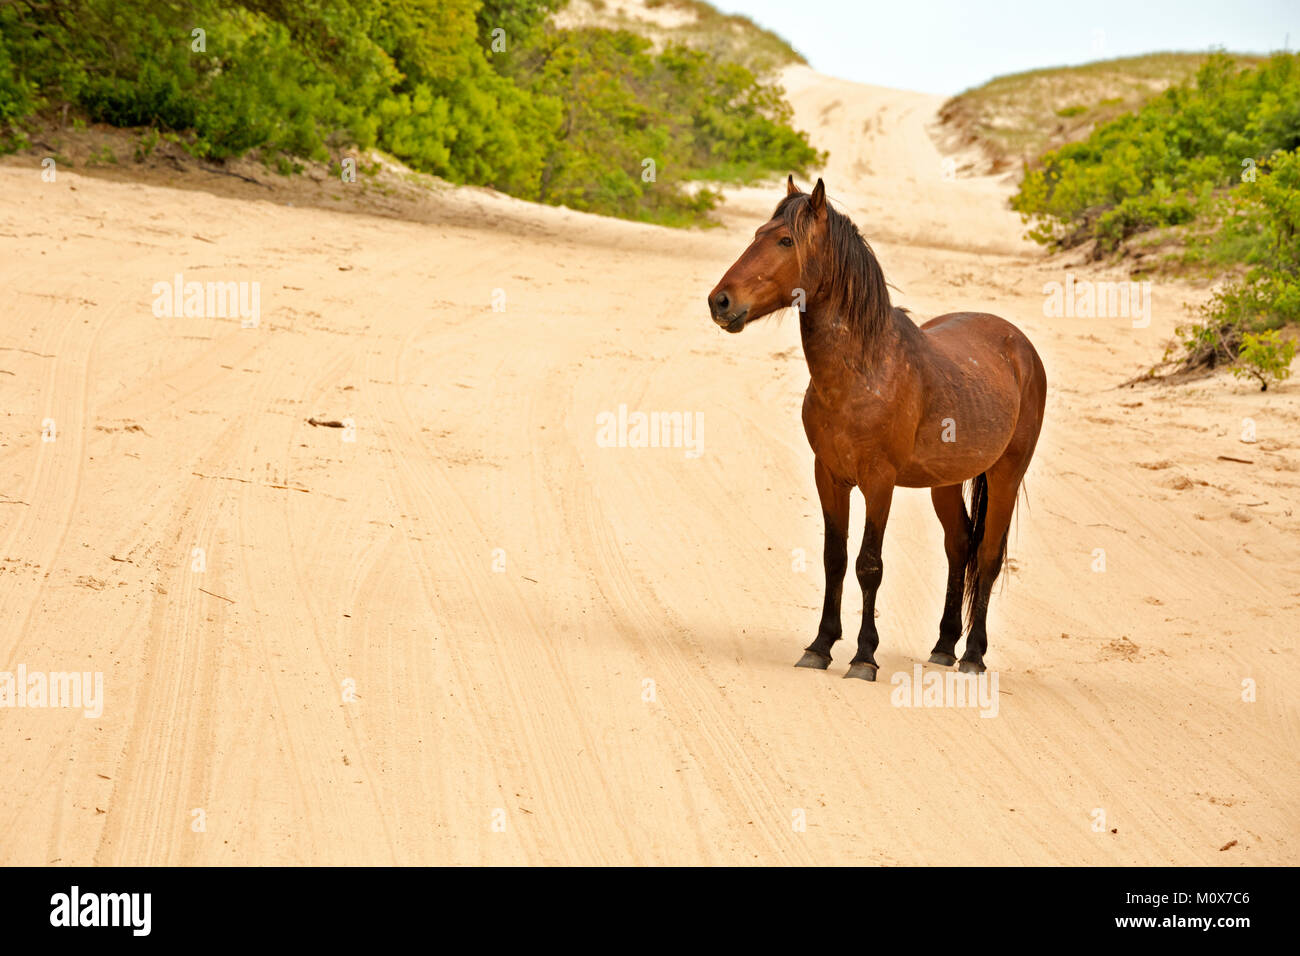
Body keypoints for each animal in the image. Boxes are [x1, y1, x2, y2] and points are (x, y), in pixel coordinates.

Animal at [708, 176, 1047, 681]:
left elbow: (869, 564)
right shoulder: (829, 477)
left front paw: (863, 656)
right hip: (945, 483)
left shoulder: (879, 482)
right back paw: (943, 647)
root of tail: (1019, 346)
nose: (720, 301)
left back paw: (972, 656)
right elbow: (834, 560)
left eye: (785, 240)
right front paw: (820, 646)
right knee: (958, 547)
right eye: (756, 234)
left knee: (985, 558)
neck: (863, 371)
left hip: (1006, 475)